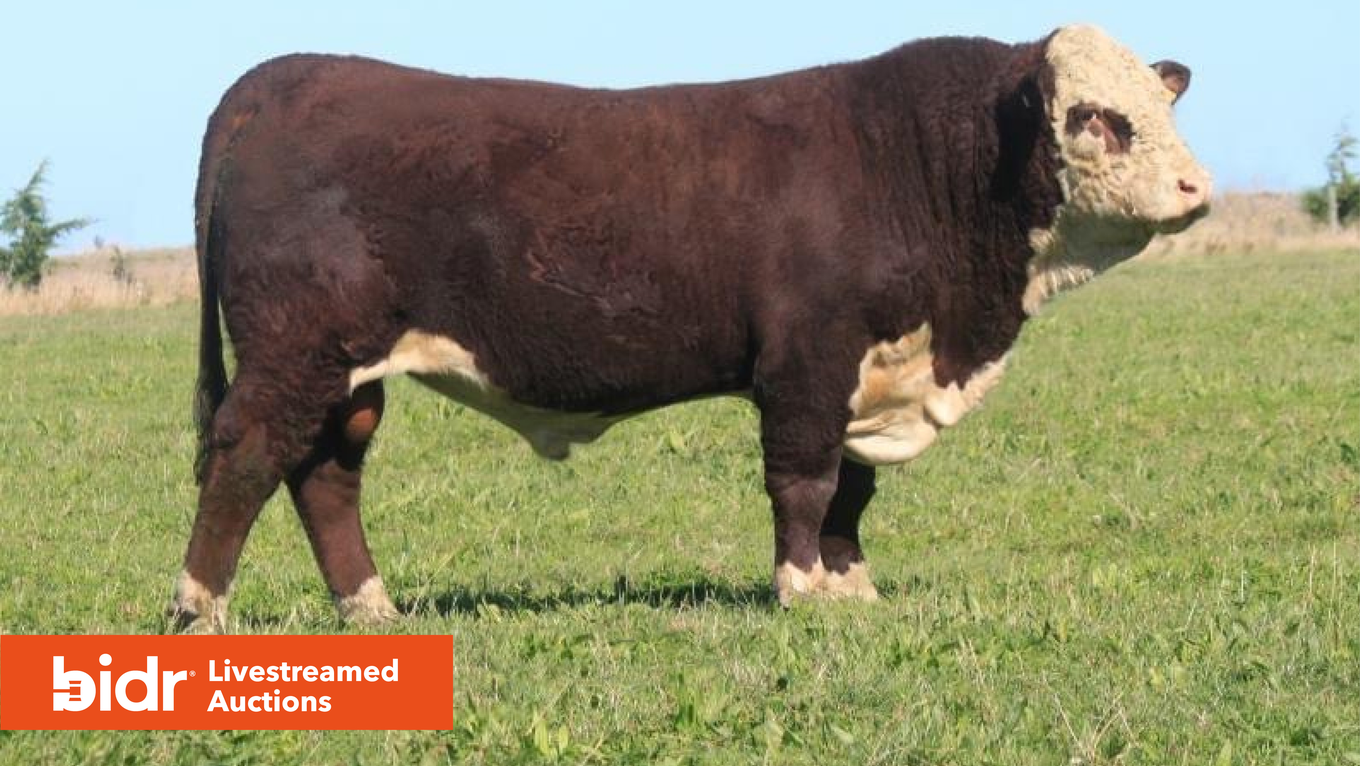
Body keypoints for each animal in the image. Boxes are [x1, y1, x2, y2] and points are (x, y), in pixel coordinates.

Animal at [170, 24, 1210, 633]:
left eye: (1163, 106)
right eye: (1096, 118)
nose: (1196, 189)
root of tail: (285, 75)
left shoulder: (870, 369)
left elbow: (854, 492)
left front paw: (852, 586)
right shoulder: (806, 360)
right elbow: (805, 482)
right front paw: (800, 590)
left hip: (346, 369)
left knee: (325, 472)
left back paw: (372, 609)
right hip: (294, 350)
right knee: (245, 456)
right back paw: (199, 610)